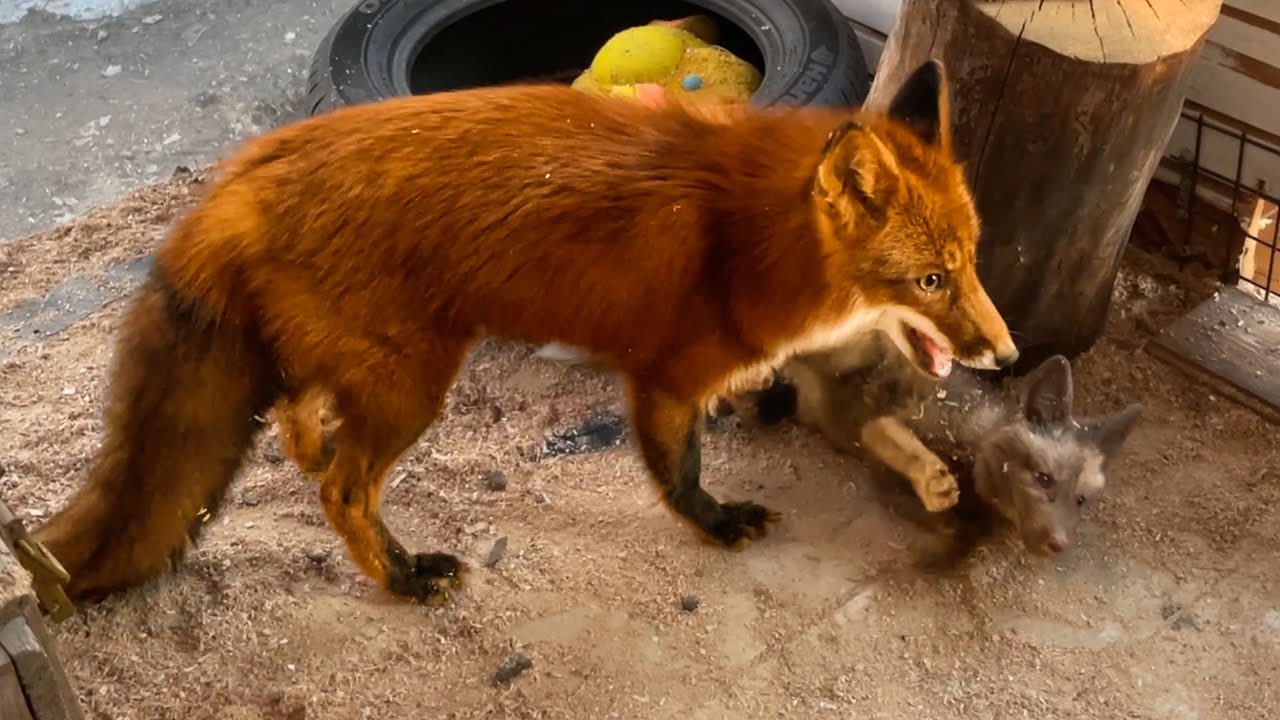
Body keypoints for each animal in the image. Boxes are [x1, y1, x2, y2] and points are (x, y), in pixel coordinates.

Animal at [30, 59, 1019, 608]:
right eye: (930, 281)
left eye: (973, 261)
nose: (1006, 355)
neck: (748, 243)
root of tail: (239, 176)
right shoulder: (664, 377)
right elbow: (681, 475)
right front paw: (717, 524)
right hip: (412, 385)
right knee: (345, 491)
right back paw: (402, 577)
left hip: (357, 364)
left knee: (293, 413)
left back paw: (312, 453)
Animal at [735, 330, 1142, 558]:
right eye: (1043, 479)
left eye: (1081, 501)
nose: (1058, 544)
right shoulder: (884, 420)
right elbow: (892, 437)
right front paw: (933, 480)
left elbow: (951, 525)